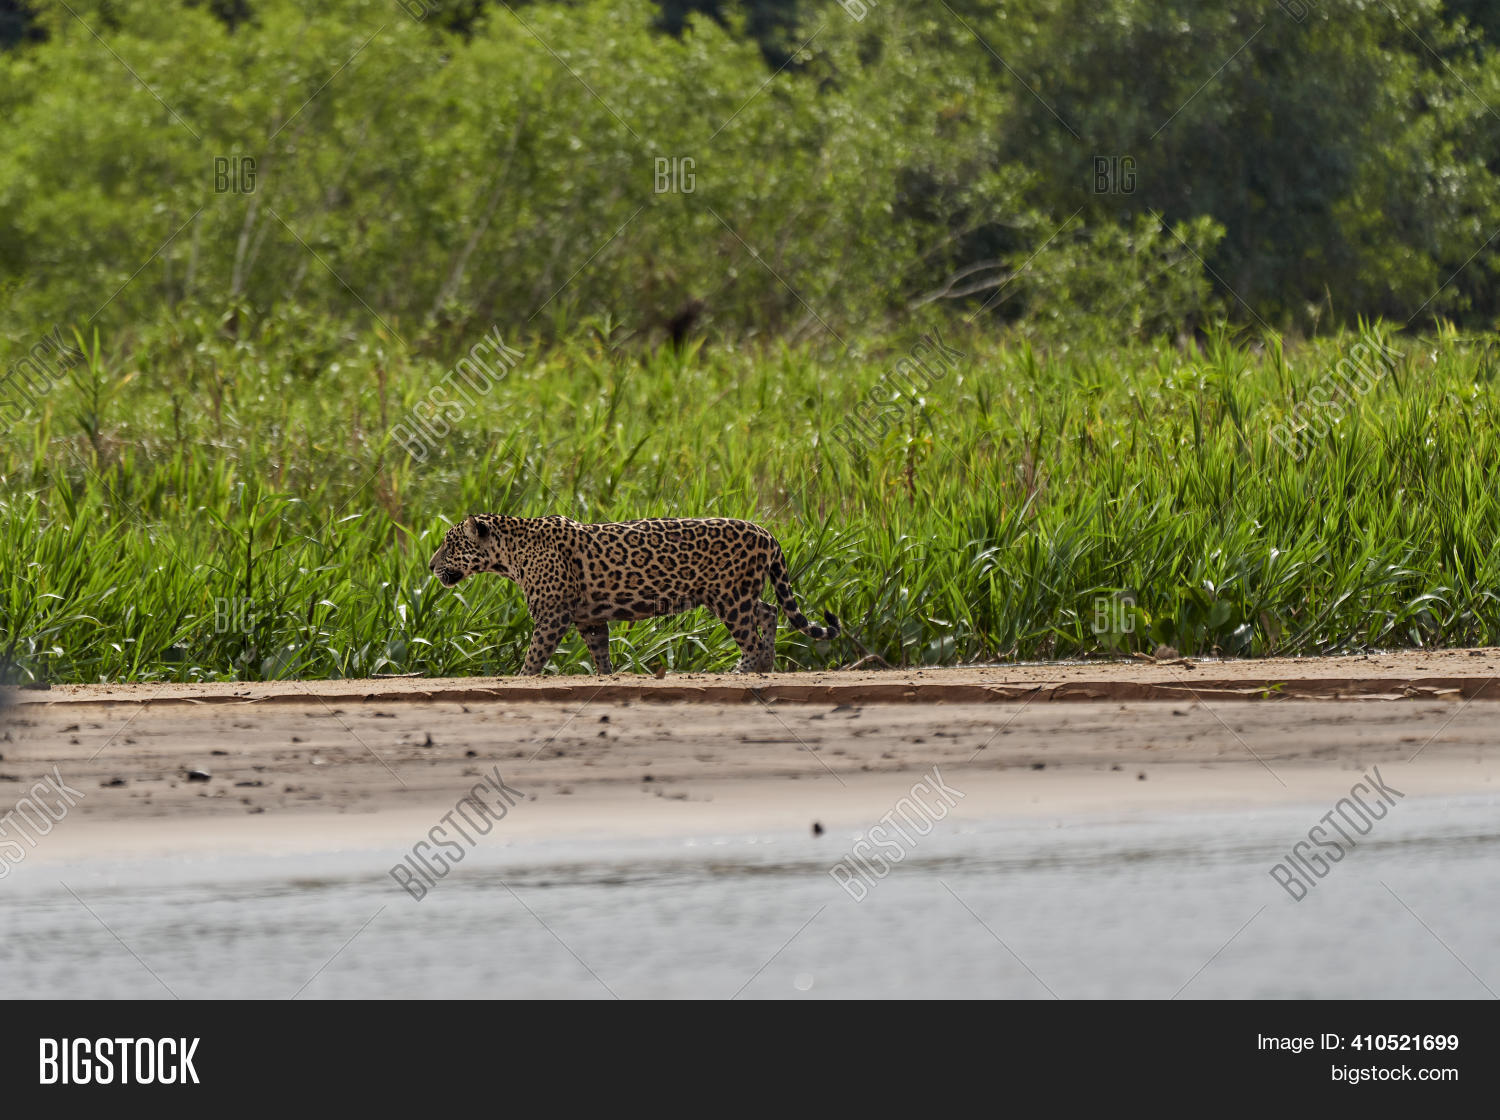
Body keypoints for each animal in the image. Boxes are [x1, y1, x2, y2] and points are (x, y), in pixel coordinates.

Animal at [428, 514, 840, 676]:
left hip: (729, 597)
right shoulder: (590, 619)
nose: (430, 566)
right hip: (738, 594)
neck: (508, 556)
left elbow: (534, 656)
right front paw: (606, 677)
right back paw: (765, 664)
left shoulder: (552, 615)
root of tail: (766, 532)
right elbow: (600, 654)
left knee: (751, 636)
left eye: (450, 544)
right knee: (769, 611)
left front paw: (522, 677)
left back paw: (744, 669)